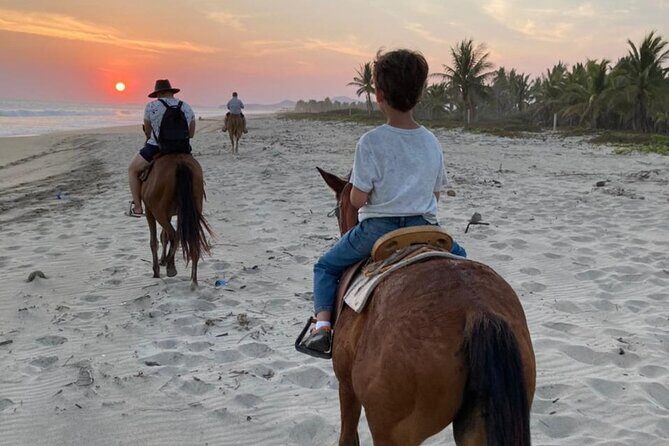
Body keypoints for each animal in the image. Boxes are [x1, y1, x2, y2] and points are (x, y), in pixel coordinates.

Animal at [141, 154, 212, 288]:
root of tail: (180, 164)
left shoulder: (149, 212)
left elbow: (154, 241)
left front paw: (156, 271)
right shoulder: (171, 214)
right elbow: (164, 236)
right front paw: (163, 260)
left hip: (158, 212)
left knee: (175, 235)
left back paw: (171, 267)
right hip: (190, 210)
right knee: (190, 239)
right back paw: (193, 281)